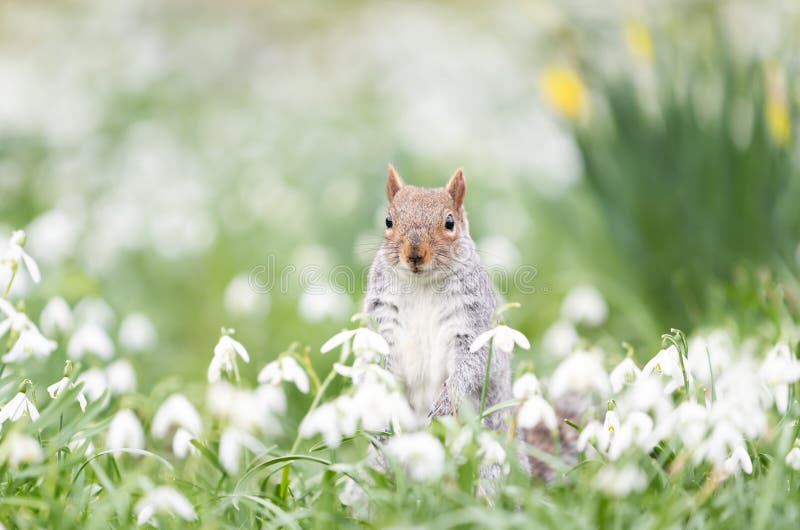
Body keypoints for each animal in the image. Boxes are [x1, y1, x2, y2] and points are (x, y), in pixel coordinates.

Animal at [364, 165, 579, 479]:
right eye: (388, 220)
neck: (422, 284)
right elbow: (378, 362)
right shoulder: (383, 320)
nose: (414, 254)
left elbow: (471, 364)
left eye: (449, 222)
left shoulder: (473, 322)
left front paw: (444, 404)